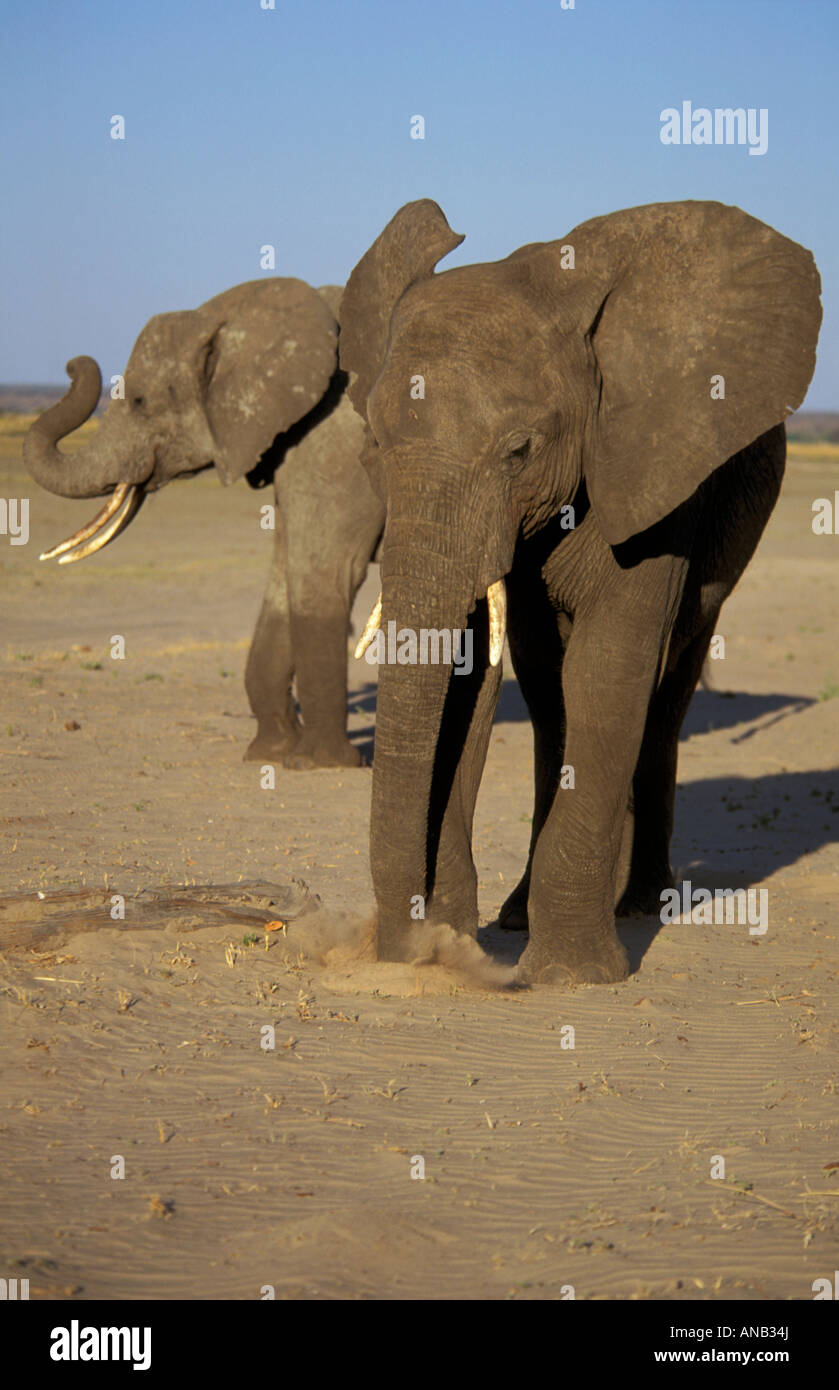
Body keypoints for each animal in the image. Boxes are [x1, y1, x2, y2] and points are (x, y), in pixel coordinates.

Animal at [24, 279, 385, 768]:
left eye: (140, 401)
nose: (73, 364)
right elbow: (283, 575)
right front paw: (269, 754)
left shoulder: (337, 444)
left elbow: (325, 572)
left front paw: (323, 764)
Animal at [340, 198, 821, 983]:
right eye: (372, 446)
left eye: (520, 450)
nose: (408, 951)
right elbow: (474, 677)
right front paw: (458, 939)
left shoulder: (655, 470)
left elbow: (609, 666)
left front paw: (572, 978)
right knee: (547, 692)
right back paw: (519, 914)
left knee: (661, 693)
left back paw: (639, 905)